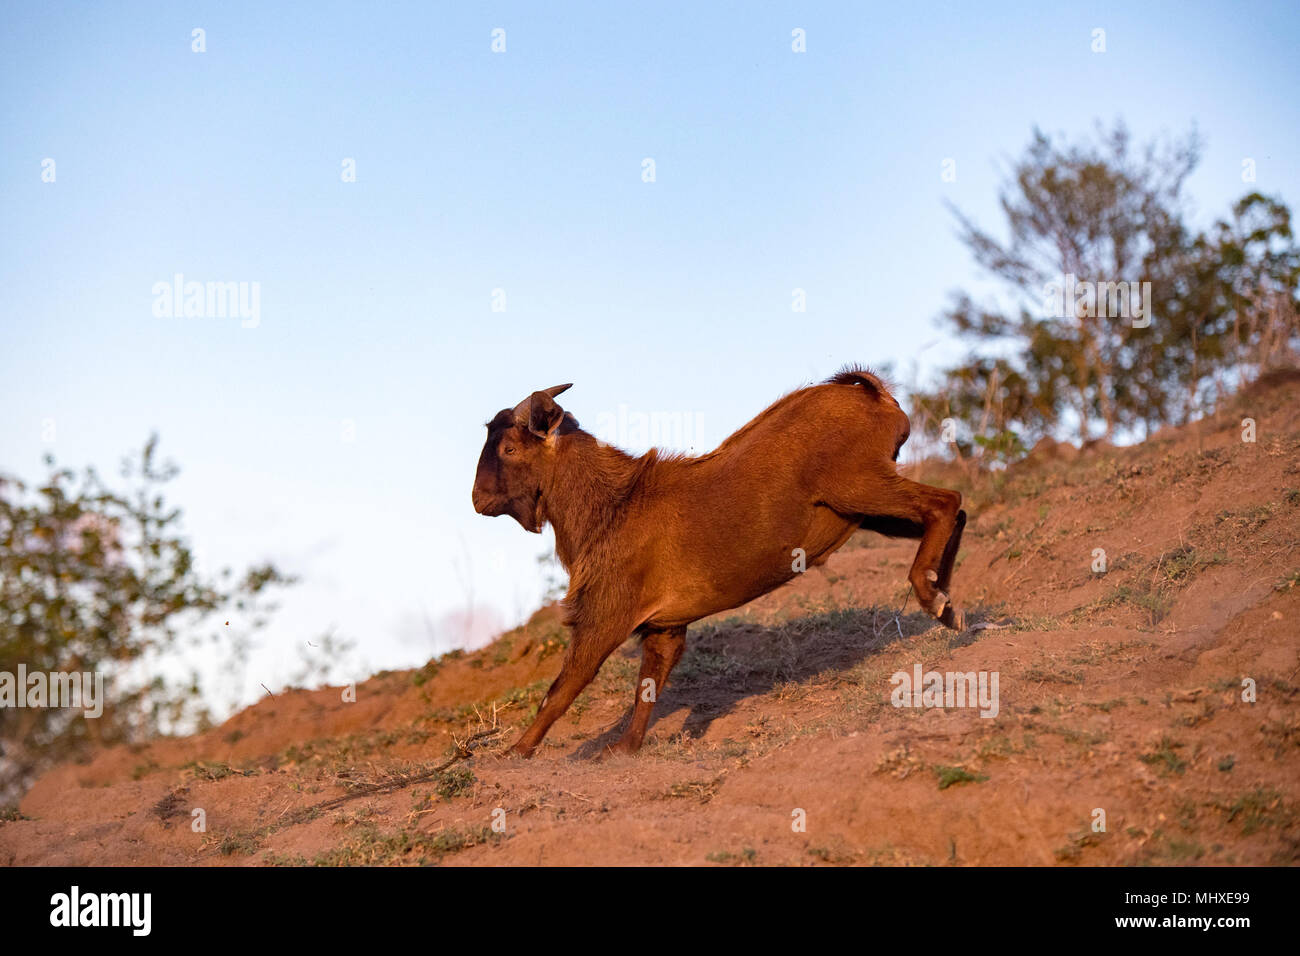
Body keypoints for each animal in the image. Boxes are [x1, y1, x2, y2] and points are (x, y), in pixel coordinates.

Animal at [472, 367, 967, 757]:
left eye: (511, 449)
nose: (479, 500)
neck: (614, 507)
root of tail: (873, 396)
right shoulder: (664, 626)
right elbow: (649, 683)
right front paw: (624, 749)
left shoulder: (605, 616)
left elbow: (564, 687)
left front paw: (516, 752)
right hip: (868, 508)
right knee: (950, 513)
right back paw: (947, 603)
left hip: (860, 486)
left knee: (945, 503)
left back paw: (933, 597)